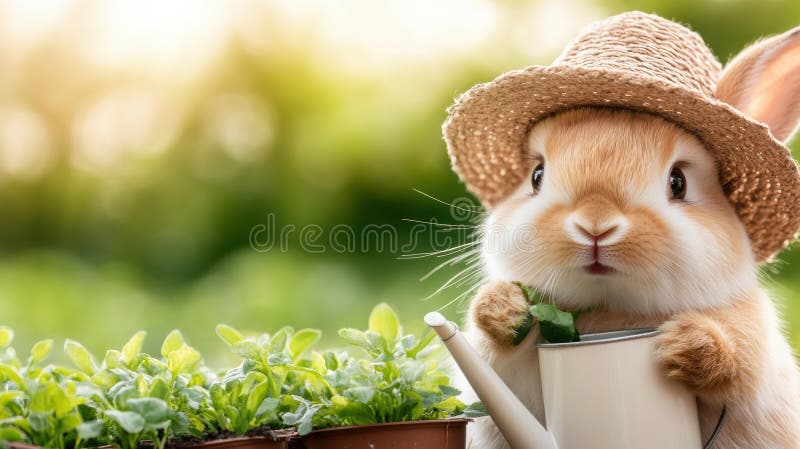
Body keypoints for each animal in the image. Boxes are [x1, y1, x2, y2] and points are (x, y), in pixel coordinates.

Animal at [461, 27, 800, 449]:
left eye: (678, 182)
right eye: (536, 176)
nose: (595, 225)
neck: (612, 311)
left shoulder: (755, 353)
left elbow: (739, 369)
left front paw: (686, 345)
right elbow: (497, 368)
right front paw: (503, 309)